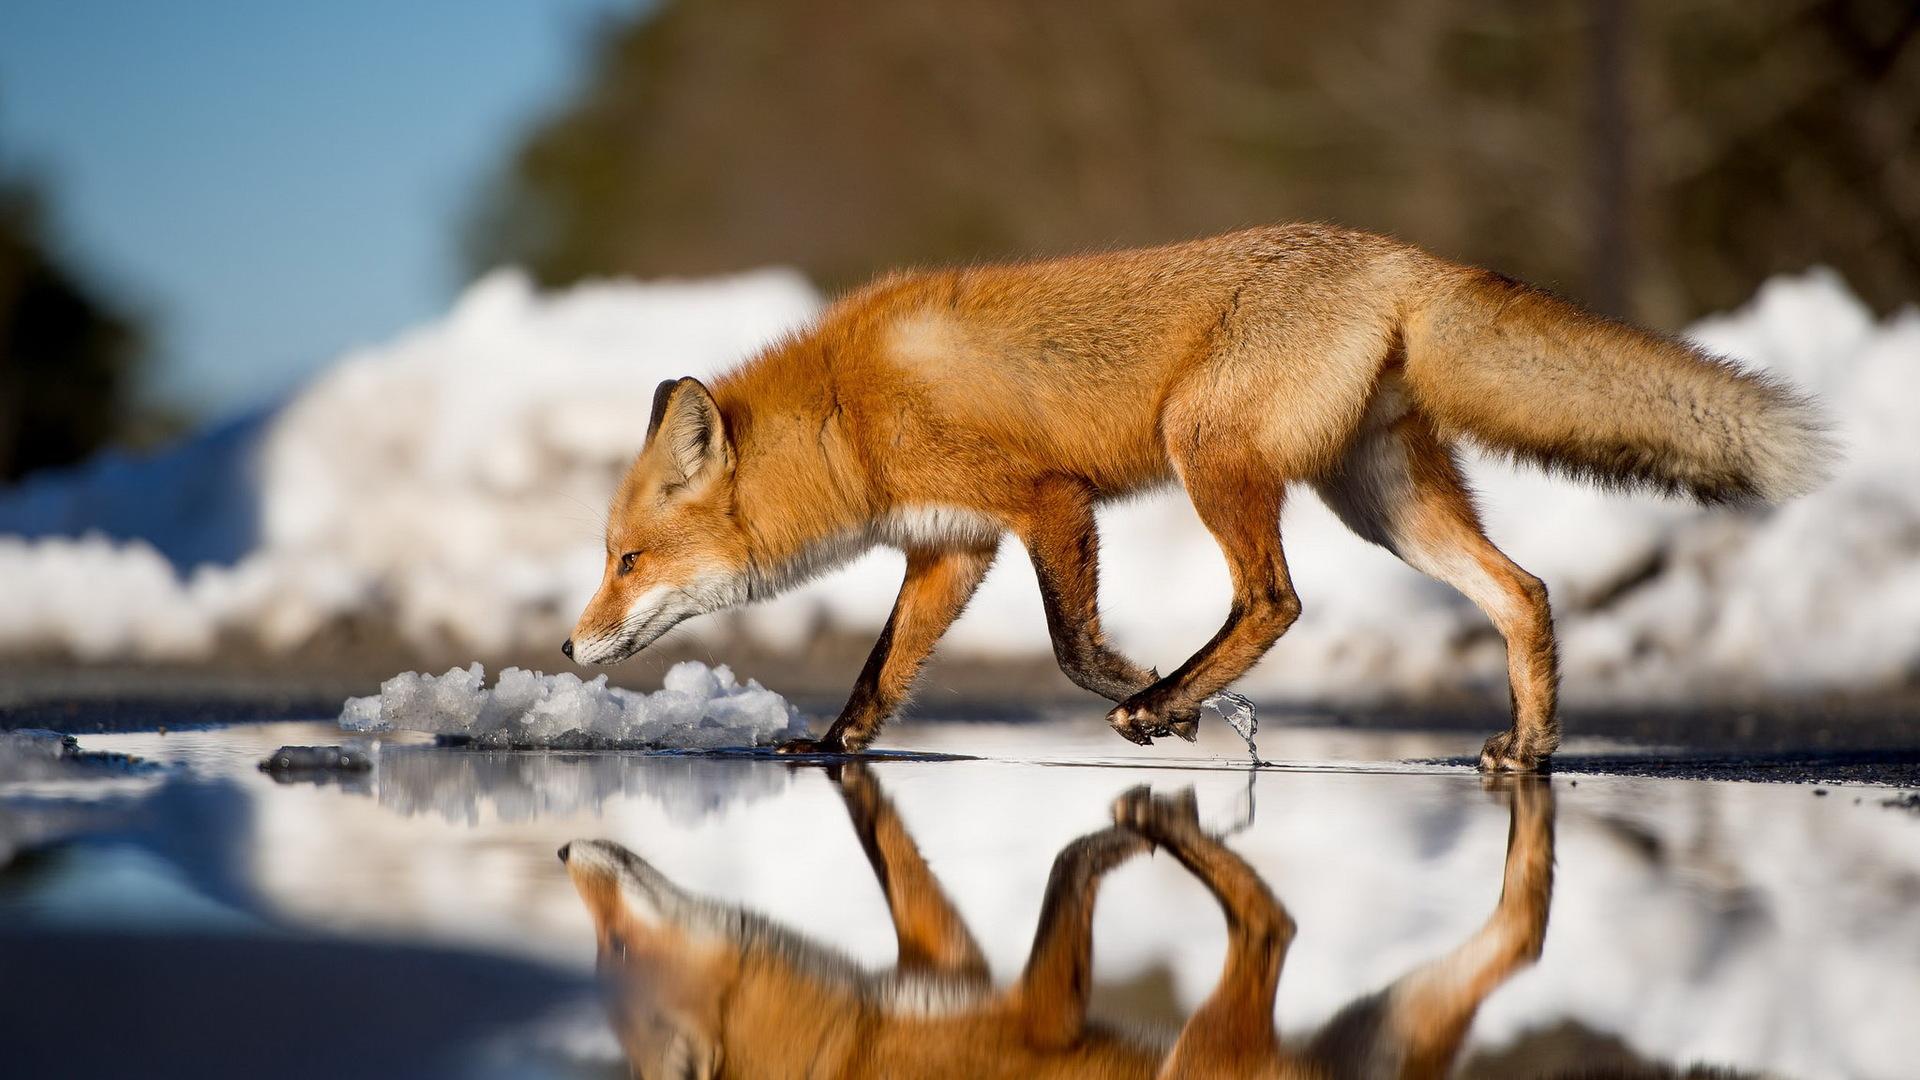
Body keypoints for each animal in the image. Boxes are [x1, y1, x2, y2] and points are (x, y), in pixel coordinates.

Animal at [559, 763, 1557, 1078]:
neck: (847, 1047)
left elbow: (1068, 898)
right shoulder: (949, 968)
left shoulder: (1032, 1015)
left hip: (1205, 1055)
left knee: (1273, 930)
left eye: (616, 940)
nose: (564, 852)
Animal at [563, 224, 1832, 770]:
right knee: (1522, 591)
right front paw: (829, 748)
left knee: (1276, 601)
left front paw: (1150, 689)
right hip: (1380, 501)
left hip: (1206, 450)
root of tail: (1400, 256)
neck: (847, 410)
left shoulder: (1047, 500)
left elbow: (1073, 647)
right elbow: (880, 674)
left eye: (625, 560)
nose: (570, 648)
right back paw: (1529, 750)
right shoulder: (951, 549)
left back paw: (1171, 700)